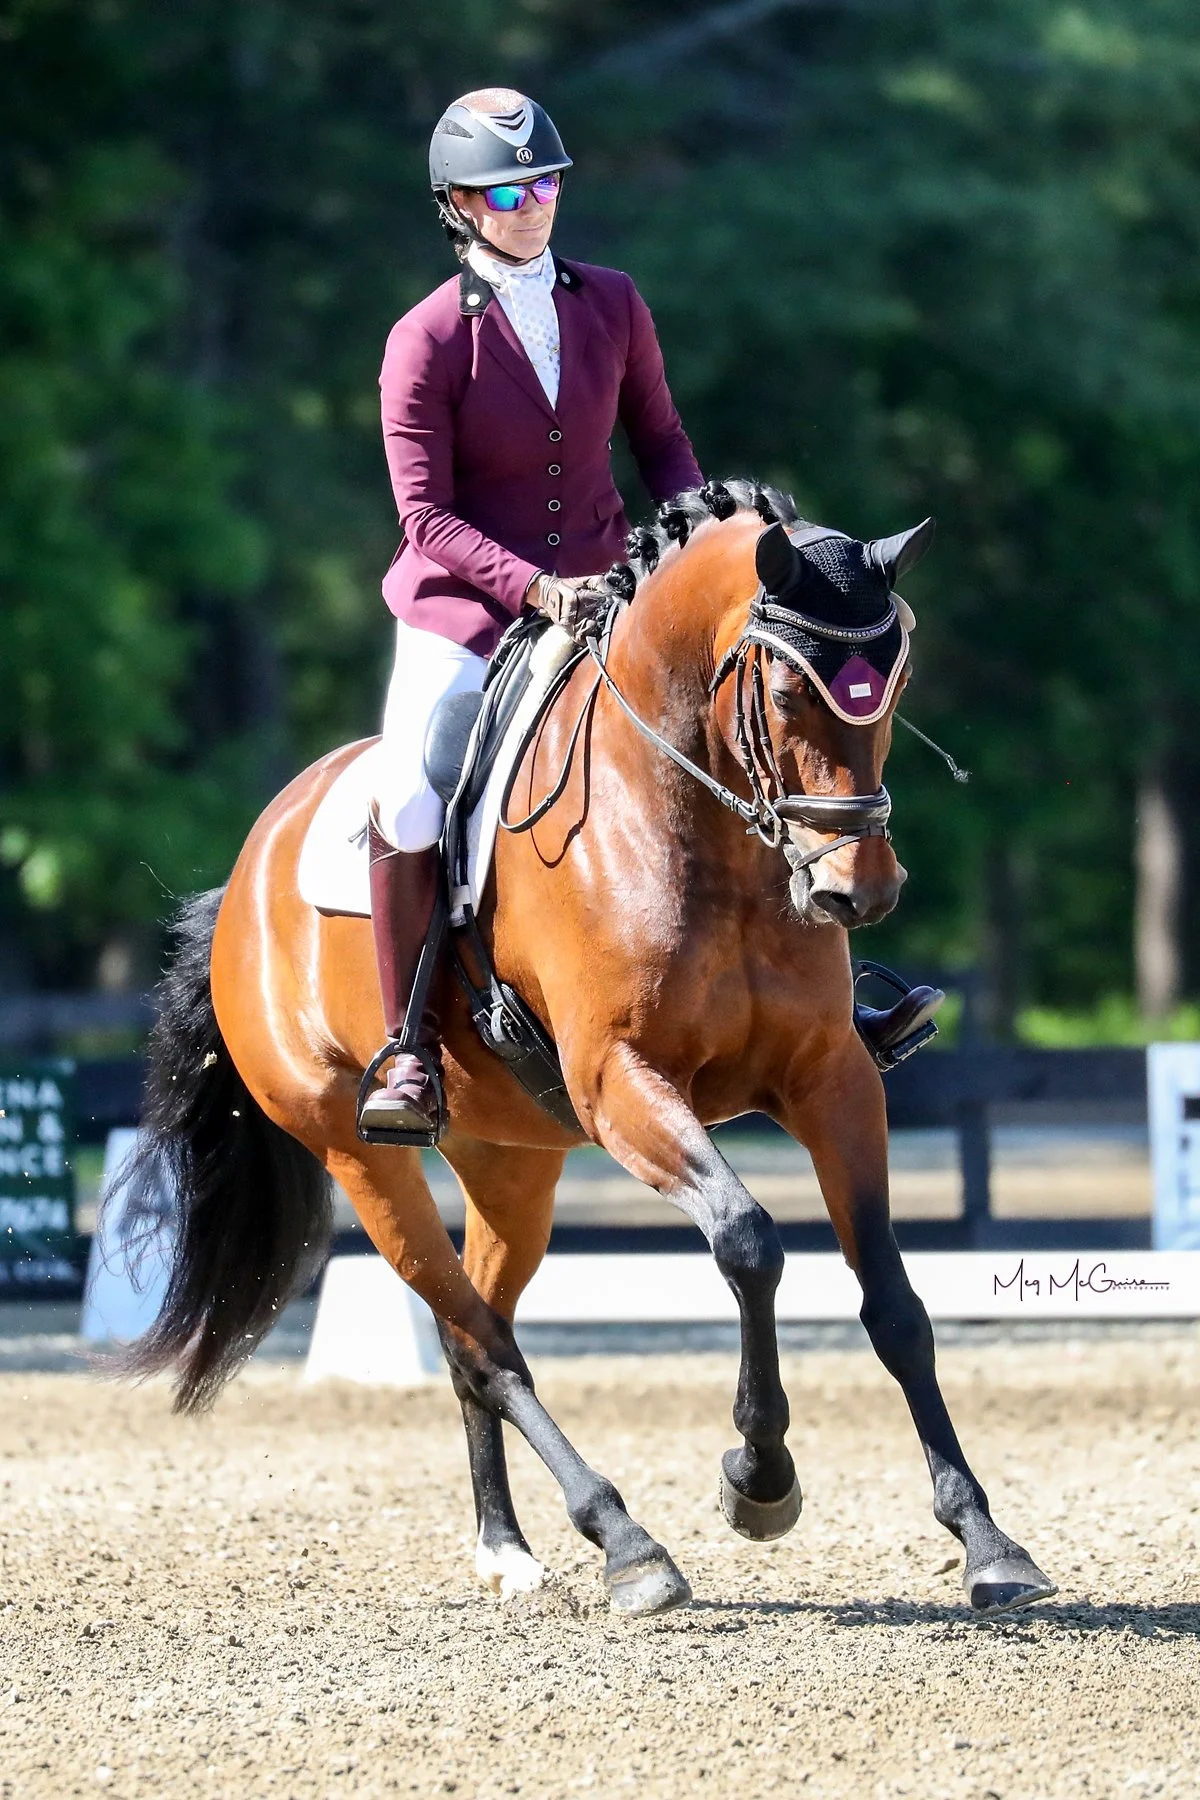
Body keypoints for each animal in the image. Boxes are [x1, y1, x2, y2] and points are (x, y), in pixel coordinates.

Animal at [119, 479, 1055, 1619]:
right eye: (791, 694)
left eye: (897, 682)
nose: (857, 892)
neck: (700, 826)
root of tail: (247, 873)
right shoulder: (622, 1085)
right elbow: (748, 1241)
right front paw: (758, 1479)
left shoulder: (830, 1079)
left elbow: (896, 1302)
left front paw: (988, 1541)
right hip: (360, 1154)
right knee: (480, 1341)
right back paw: (627, 1544)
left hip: (509, 1161)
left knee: (477, 1326)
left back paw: (507, 1546)